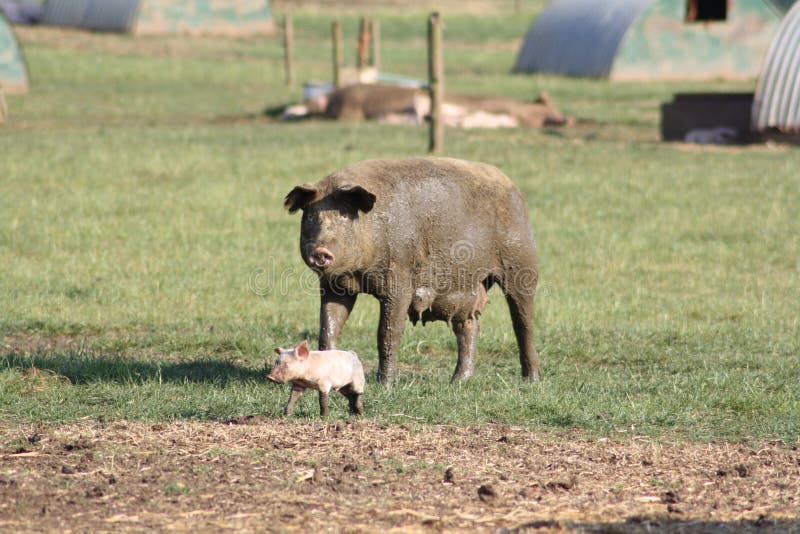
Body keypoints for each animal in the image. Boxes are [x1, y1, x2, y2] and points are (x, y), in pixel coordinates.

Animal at [284, 157, 540, 385]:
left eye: (345, 215)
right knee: (468, 326)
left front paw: (385, 385)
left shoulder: (400, 277)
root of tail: (512, 186)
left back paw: (531, 380)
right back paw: (458, 382)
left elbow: (387, 332)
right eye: (310, 216)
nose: (321, 251)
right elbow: (328, 326)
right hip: (469, 285)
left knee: (523, 322)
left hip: (522, 263)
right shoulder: (334, 285)